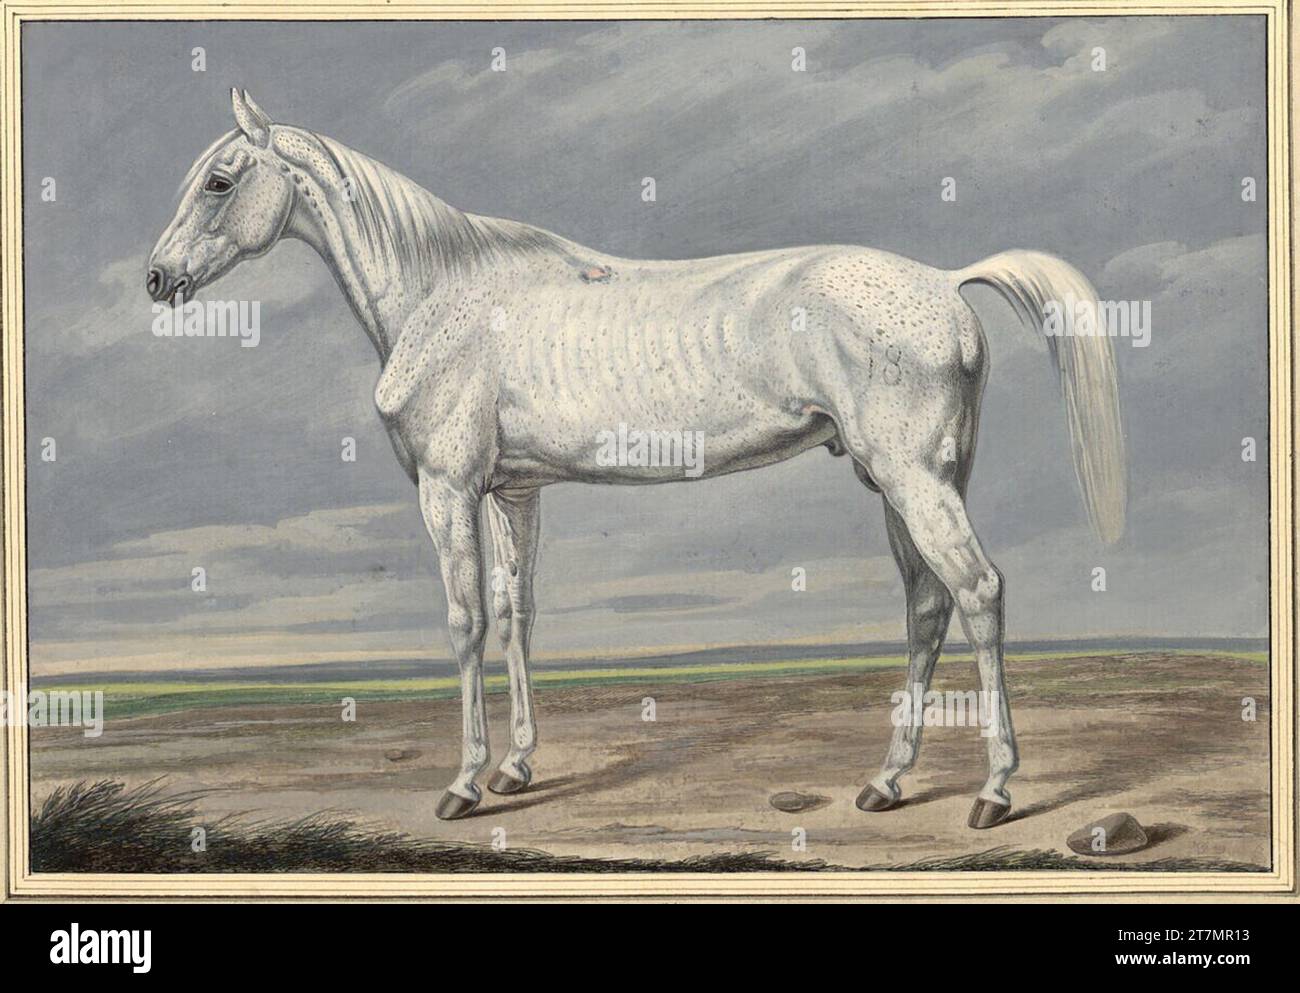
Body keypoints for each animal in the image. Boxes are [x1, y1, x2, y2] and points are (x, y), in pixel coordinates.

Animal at [148, 91, 1126, 830]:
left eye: (221, 180)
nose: (157, 280)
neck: (443, 292)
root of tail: (945, 282)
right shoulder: (514, 492)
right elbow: (518, 617)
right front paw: (516, 769)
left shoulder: (448, 488)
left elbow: (465, 622)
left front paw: (464, 783)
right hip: (899, 482)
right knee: (927, 606)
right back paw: (887, 781)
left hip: (915, 481)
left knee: (978, 593)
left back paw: (994, 791)